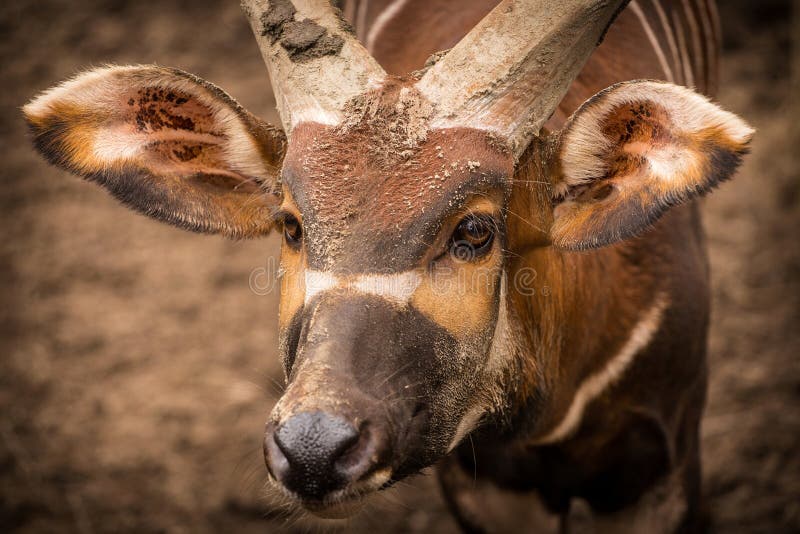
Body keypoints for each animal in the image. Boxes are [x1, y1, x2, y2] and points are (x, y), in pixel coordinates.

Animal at [23, 0, 752, 531]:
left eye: (474, 230)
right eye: (291, 224)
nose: (315, 451)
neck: (550, 414)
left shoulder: (657, 474)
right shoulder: (486, 486)